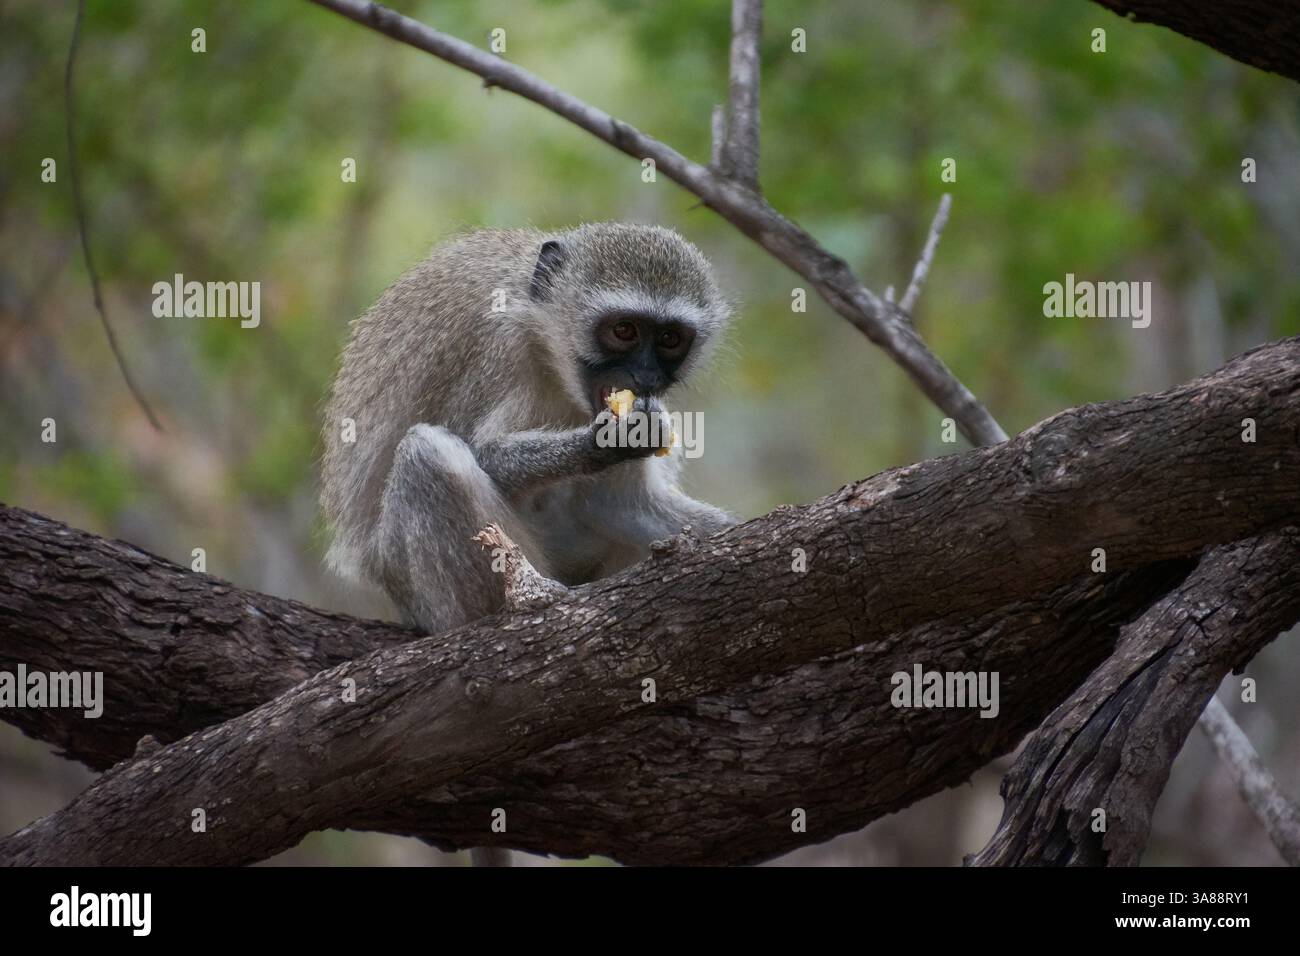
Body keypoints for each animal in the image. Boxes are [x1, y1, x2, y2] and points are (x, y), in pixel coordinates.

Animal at [320, 220, 736, 648]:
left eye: (670, 340)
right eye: (624, 331)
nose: (646, 378)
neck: (545, 341)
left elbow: (618, 503)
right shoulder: (496, 348)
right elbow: (484, 454)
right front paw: (607, 441)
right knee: (426, 454)